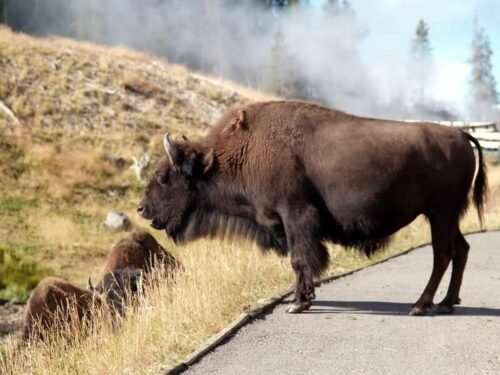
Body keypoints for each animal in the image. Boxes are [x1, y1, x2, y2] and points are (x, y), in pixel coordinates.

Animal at [136, 100, 484, 318]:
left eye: (163, 176)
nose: (141, 208)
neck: (239, 153)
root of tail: (461, 134)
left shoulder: (295, 216)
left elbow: (300, 258)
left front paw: (297, 303)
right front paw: (302, 299)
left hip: (439, 214)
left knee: (443, 254)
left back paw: (421, 305)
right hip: (449, 217)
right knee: (462, 249)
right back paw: (447, 303)